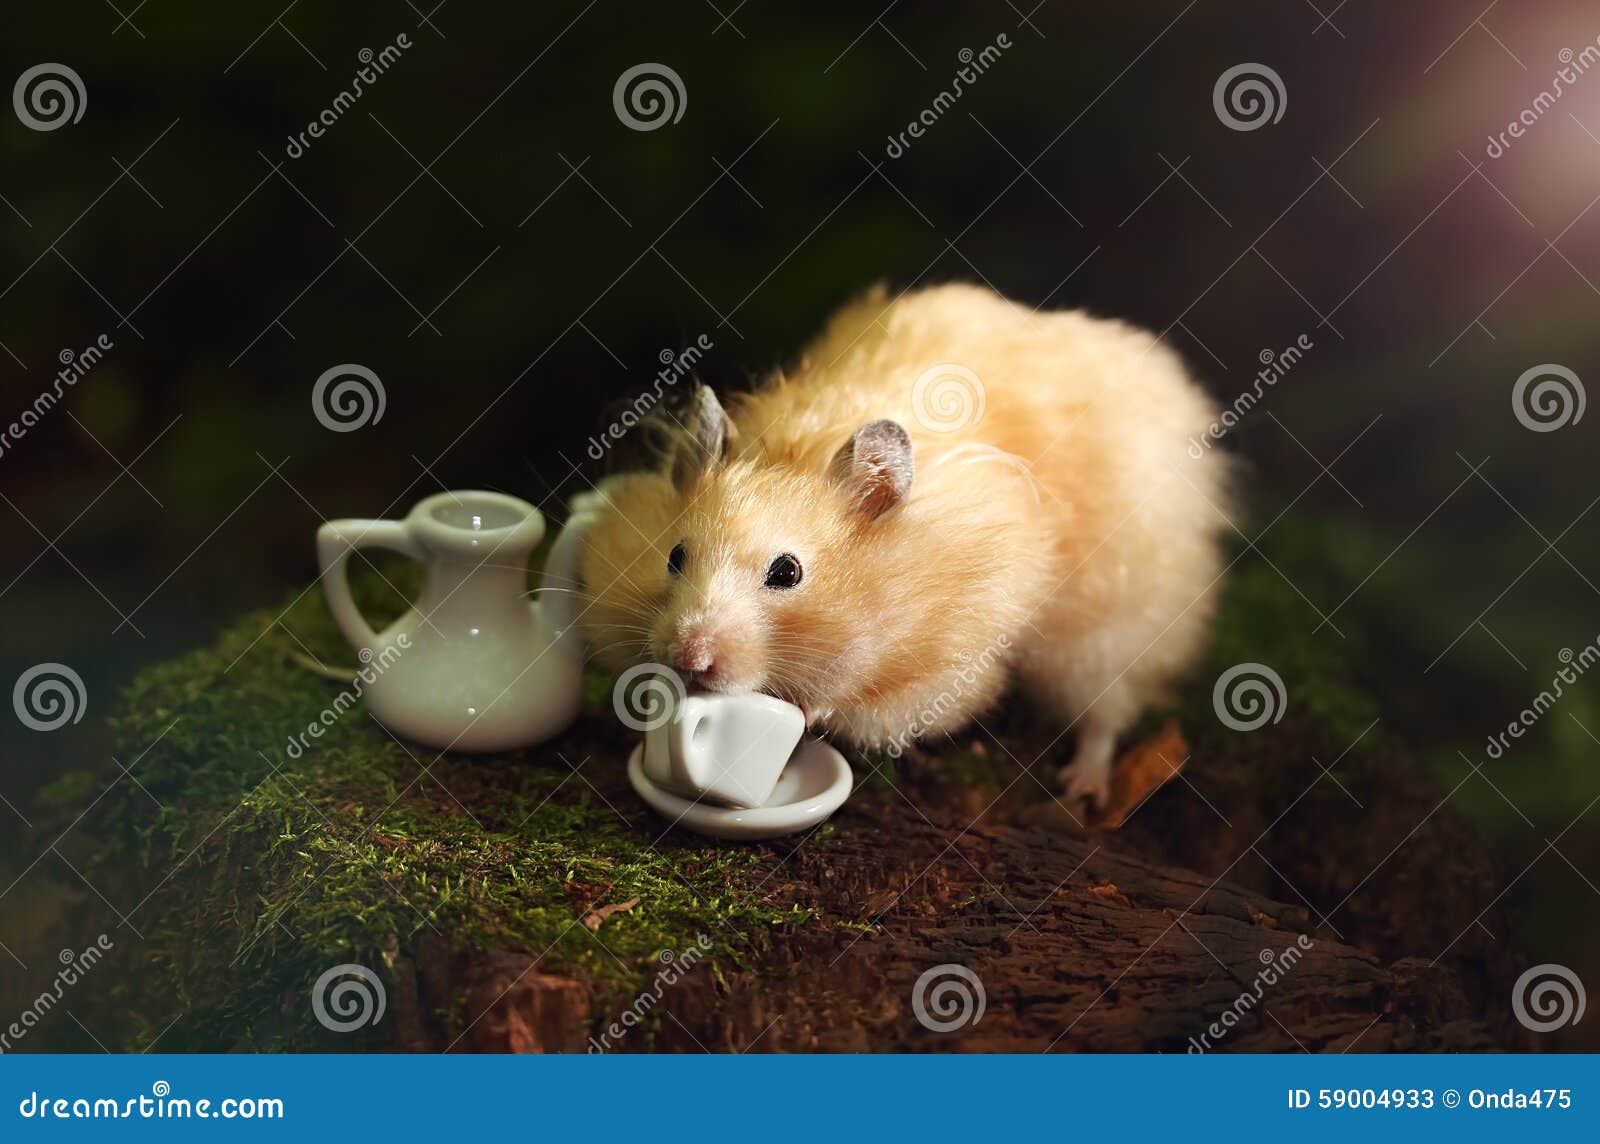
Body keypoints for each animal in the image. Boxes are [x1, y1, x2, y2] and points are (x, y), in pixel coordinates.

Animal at [567, 283, 1231, 806]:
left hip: (1115, 627)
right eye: (675, 557)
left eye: (787, 573)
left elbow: (868, 704)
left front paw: (810, 712)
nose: (689, 659)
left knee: (1107, 711)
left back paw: (1083, 788)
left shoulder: (948, 660)